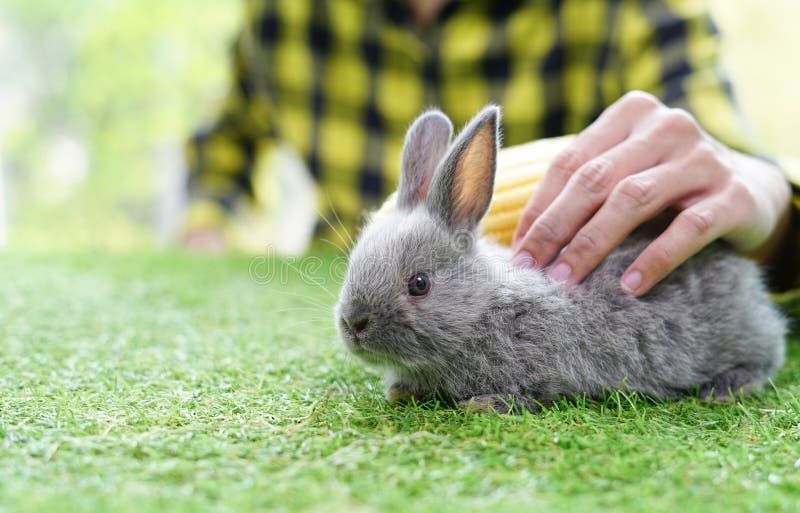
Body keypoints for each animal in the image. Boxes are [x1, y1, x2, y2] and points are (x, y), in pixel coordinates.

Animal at [334, 105, 786, 413]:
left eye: (419, 284)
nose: (354, 324)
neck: (482, 306)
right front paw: (400, 391)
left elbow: (530, 395)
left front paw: (483, 405)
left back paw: (726, 388)